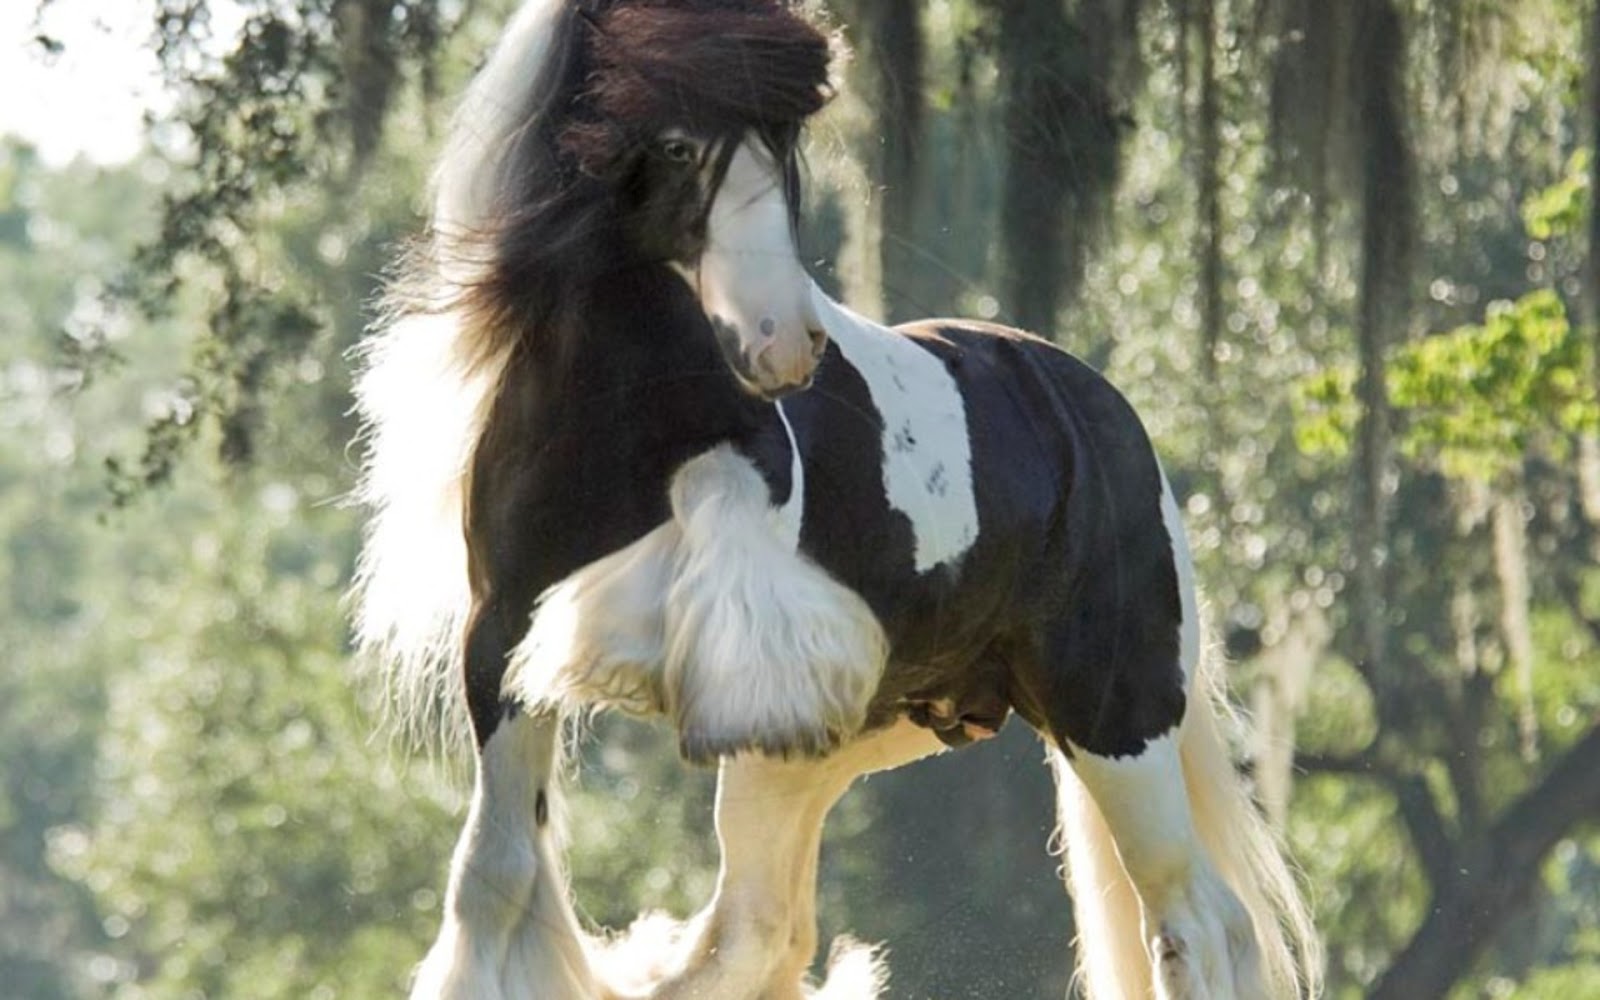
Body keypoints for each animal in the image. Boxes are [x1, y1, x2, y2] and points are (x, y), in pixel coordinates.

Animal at [352, 1, 1322, 997]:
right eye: (674, 143)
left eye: (783, 141)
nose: (783, 345)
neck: (611, 410)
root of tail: (1103, 414)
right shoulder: (501, 641)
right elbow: (495, 876)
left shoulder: (746, 616)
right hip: (841, 737)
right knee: (763, 927)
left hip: (1112, 714)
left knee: (1196, 918)